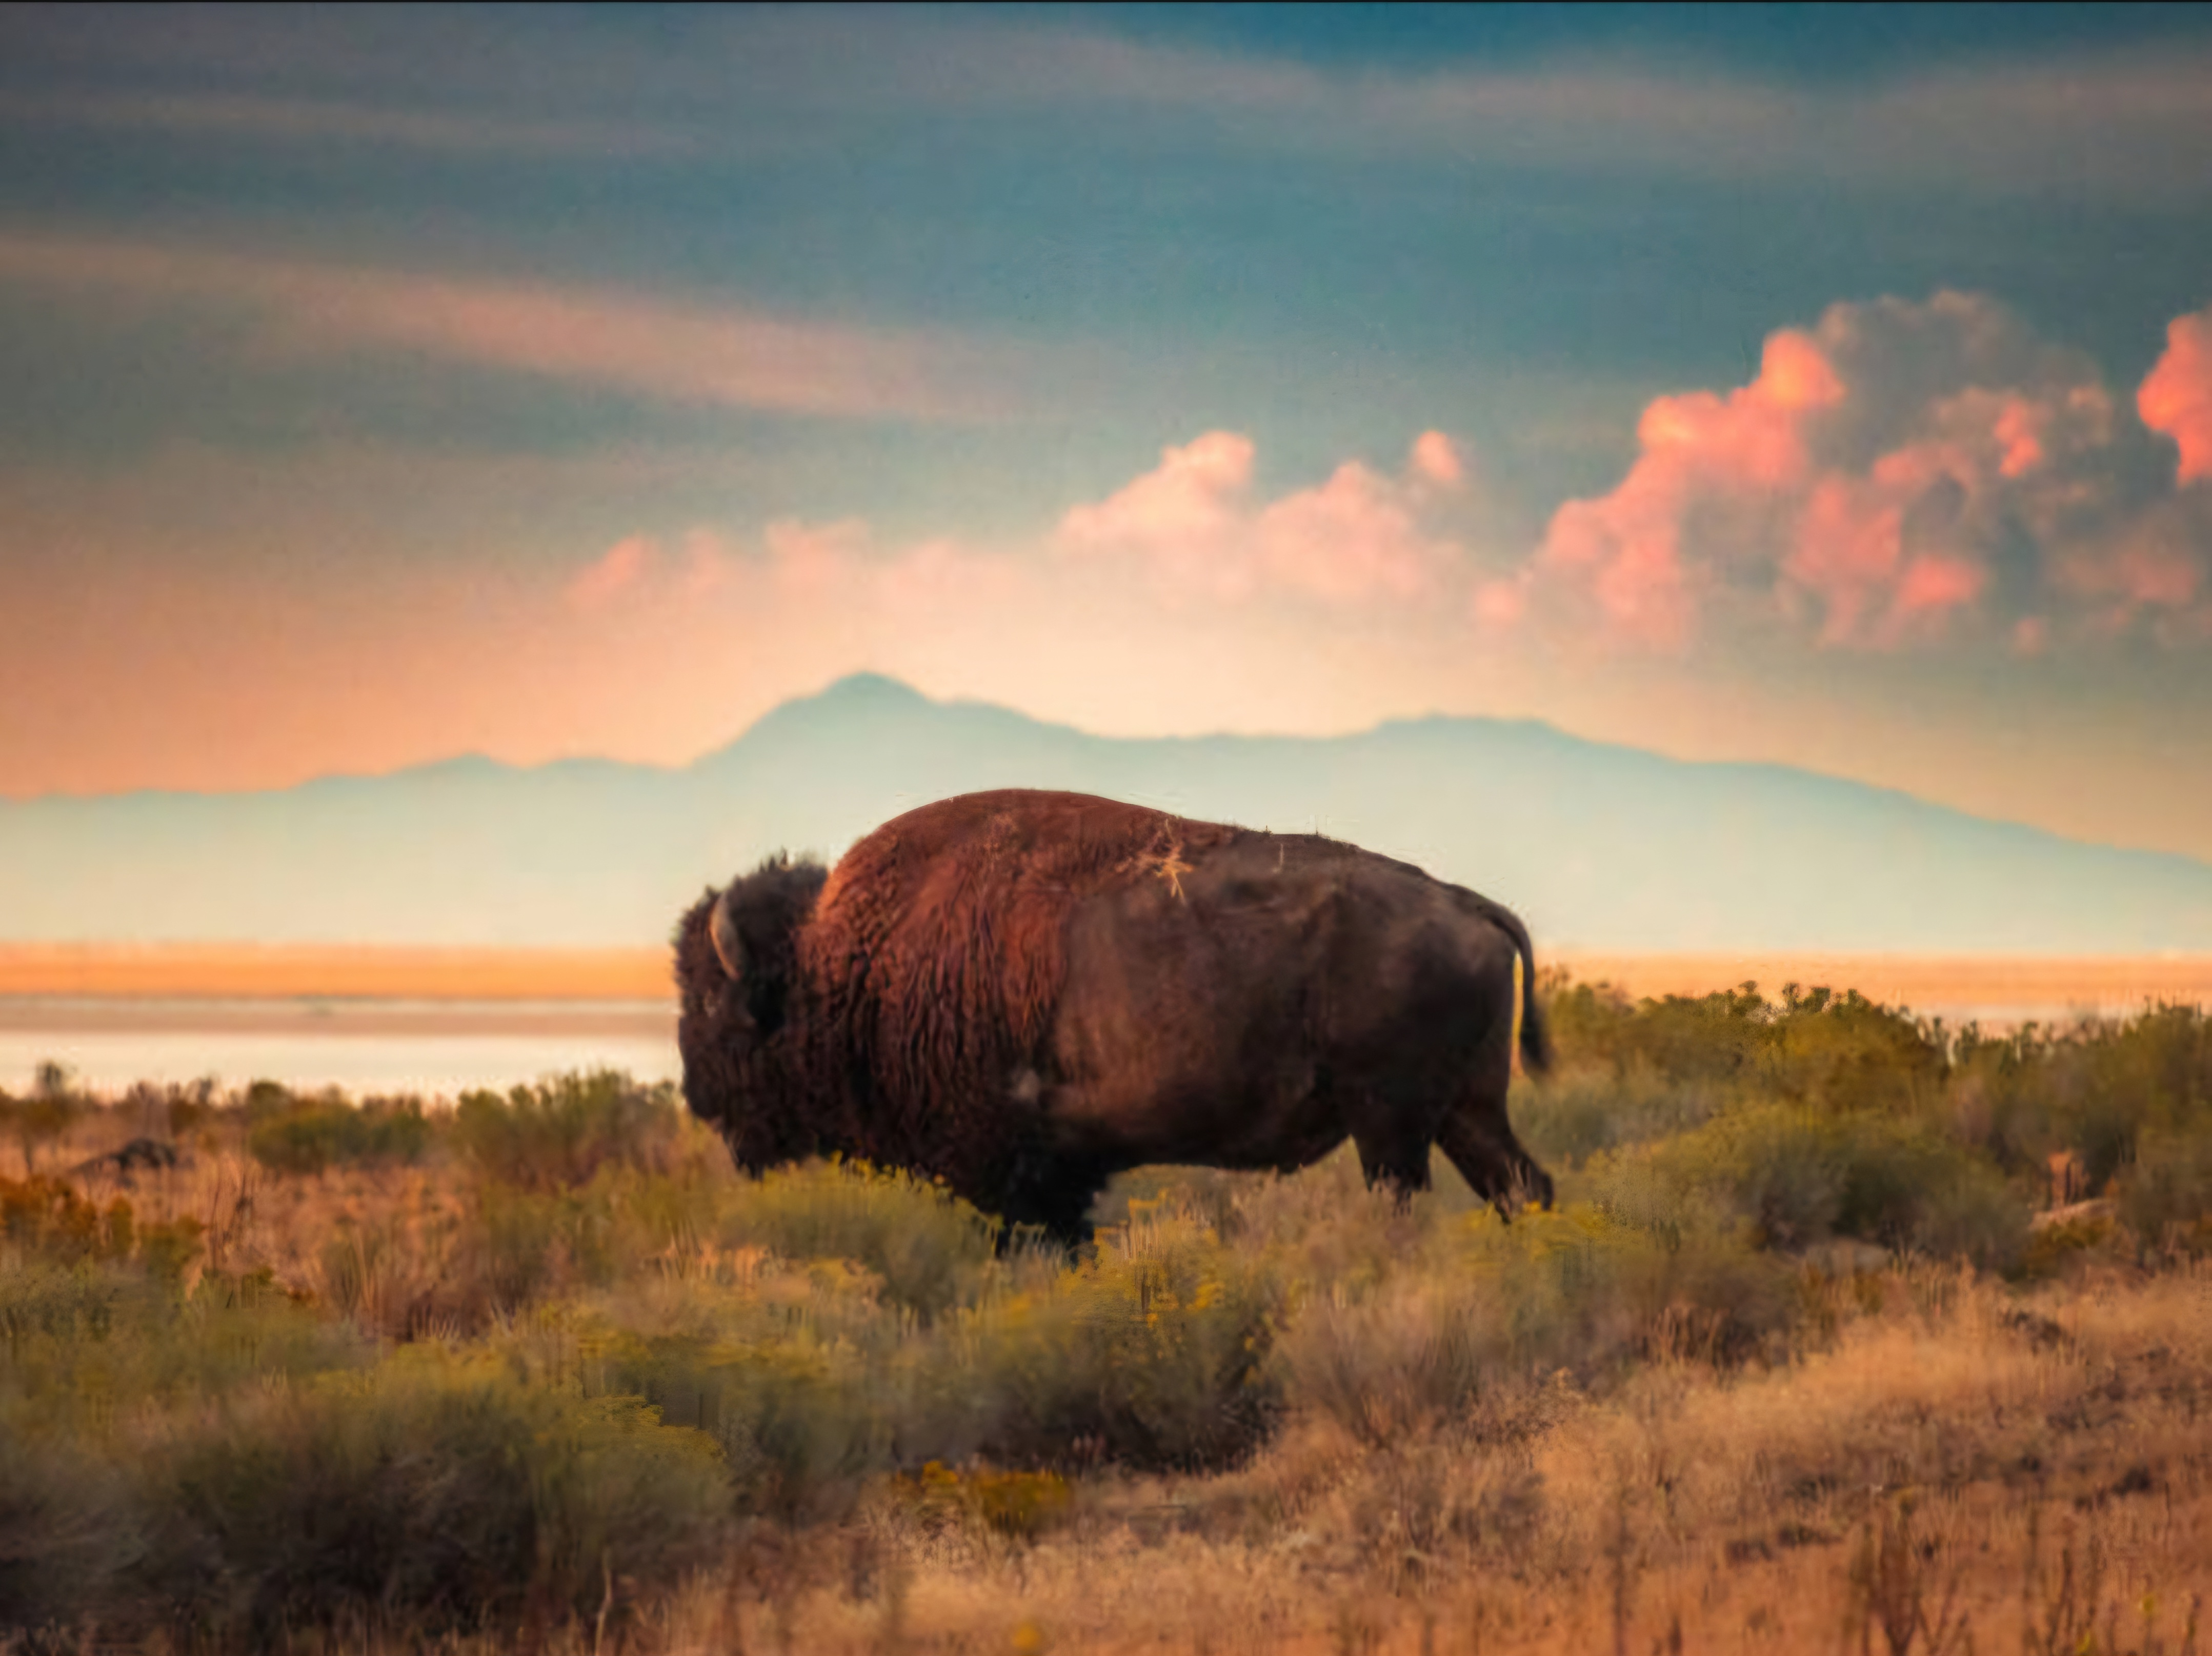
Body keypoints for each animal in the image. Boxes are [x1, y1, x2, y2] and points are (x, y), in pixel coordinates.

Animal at [675, 789, 1553, 1246]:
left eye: (713, 1001)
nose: (695, 1095)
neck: (838, 962)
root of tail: (1464, 902)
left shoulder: (1005, 1176)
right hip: (1465, 1111)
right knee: (1523, 1185)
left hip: (1390, 1126)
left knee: (1411, 1200)